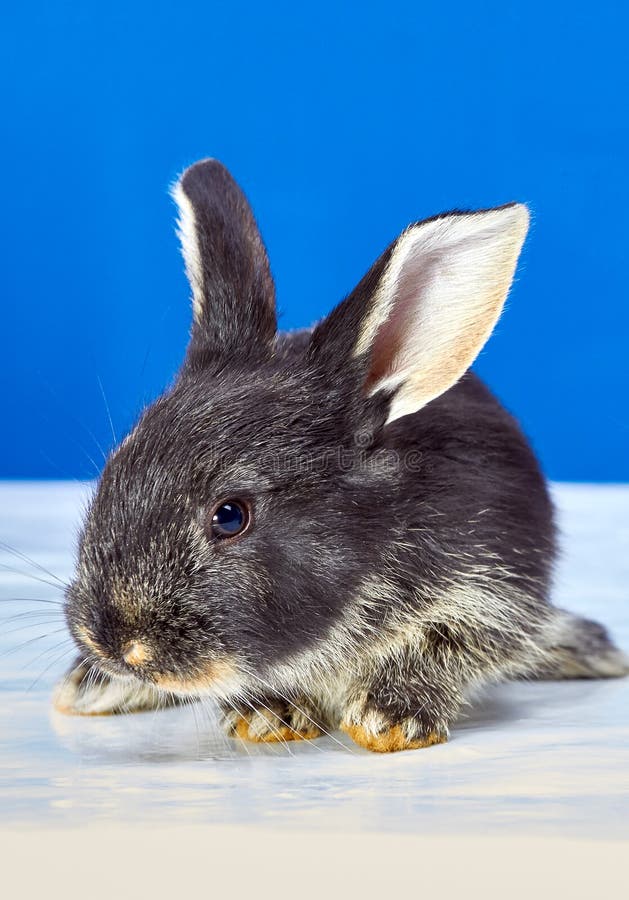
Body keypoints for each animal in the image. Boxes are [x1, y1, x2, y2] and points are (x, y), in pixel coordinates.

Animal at [53, 158, 629, 752]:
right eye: (114, 470)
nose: (112, 642)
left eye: (230, 516)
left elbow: (442, 648)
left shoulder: (486, 595)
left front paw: (390, 720)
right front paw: (270, 715)